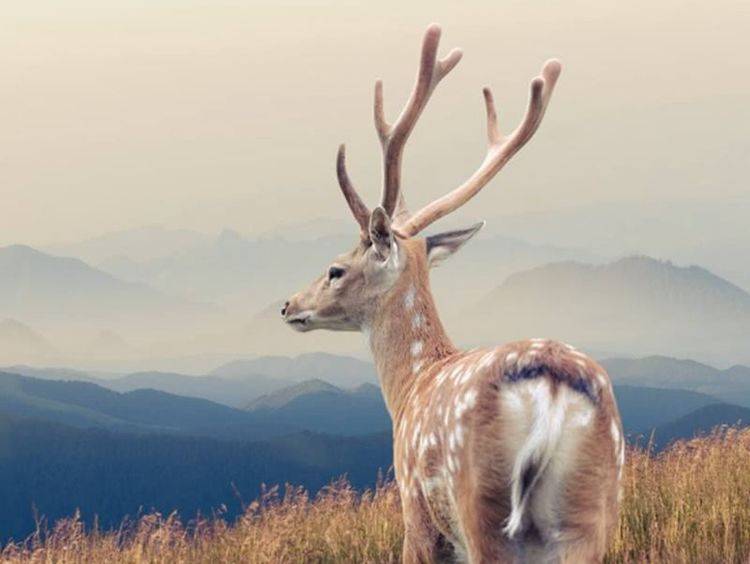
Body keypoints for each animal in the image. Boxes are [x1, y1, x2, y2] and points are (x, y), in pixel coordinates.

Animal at [281, 24, 624, 563]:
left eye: (336, 270)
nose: (289, 305)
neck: (410, 387)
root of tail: (550, 394)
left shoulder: (415, 512)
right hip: (595, 507)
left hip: (482, 506)